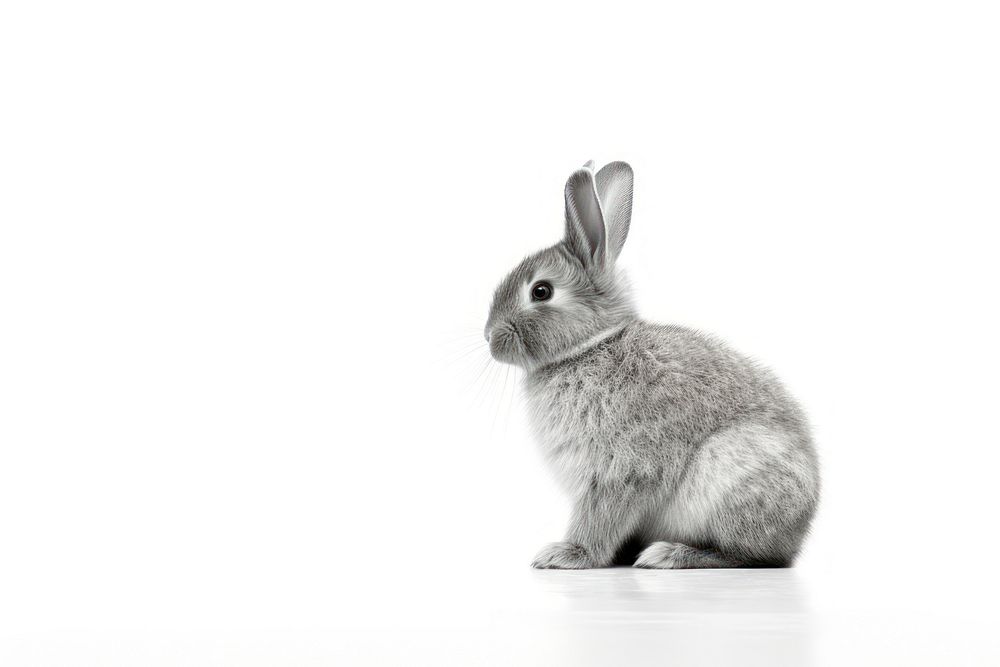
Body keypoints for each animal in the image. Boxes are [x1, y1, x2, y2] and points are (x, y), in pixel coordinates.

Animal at [484, 160, 820, 569]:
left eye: (541, 291)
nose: (489, 337)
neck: (590, 347)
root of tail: (799, 533)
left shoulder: (623, 470)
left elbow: (601, 517)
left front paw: (566, 555)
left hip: (732, 474)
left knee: (743, 555)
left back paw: (668, 554)